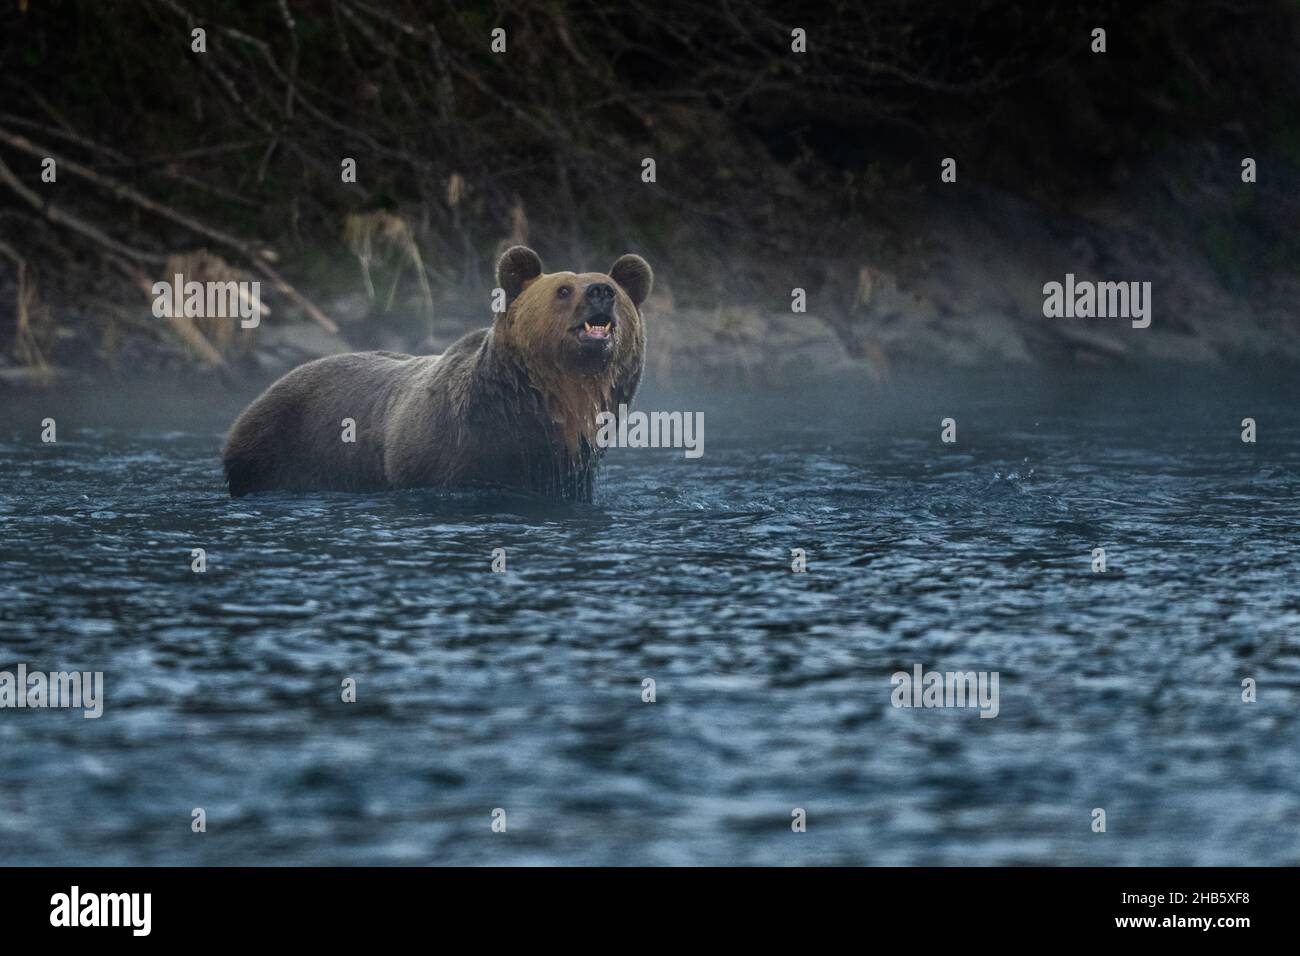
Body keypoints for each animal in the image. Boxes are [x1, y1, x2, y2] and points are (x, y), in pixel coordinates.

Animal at [221, 246, 652, 502]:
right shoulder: (453, 454)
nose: (600, 292)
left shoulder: (568, 471)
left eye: (614, 287)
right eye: (563, 290)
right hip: (276, 451)